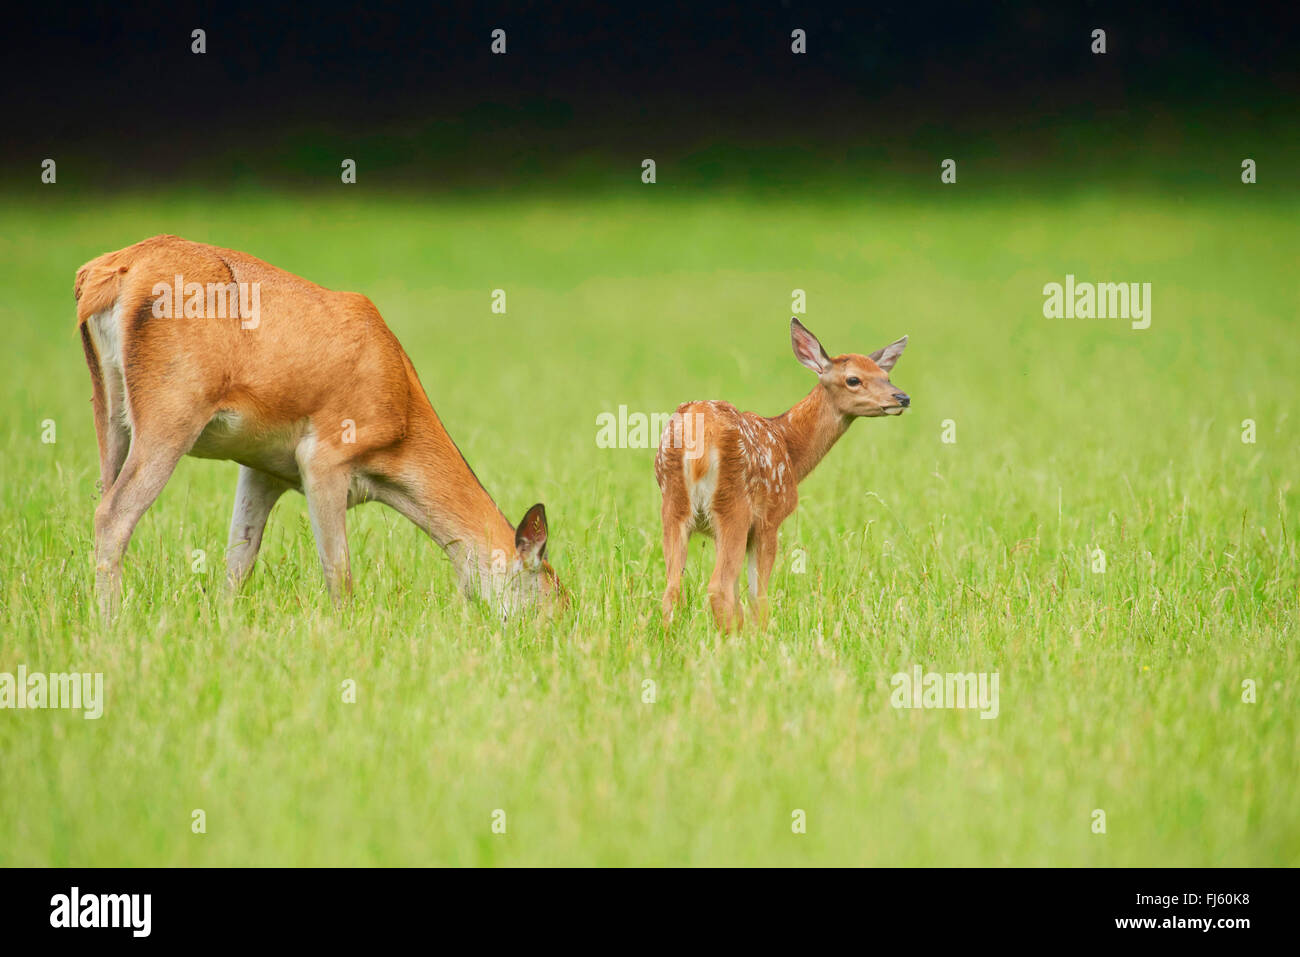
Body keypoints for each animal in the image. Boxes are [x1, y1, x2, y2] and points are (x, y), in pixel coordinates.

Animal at [75, 234, 564, 622]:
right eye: (547, 599)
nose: (543, 637)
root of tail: (103, 273)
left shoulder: (263, 467)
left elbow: (239, 563)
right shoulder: (325, 456)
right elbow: (339, 574)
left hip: (110, 407)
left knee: (103, 495)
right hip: (173, 409)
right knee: (113, 515)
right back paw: (111, 625)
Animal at [654, 318, 909, 631]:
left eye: (885, 375)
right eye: (853, 379)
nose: (902, 397)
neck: (789, 448)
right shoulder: (769, 519)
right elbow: (757, 596)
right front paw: (759, 635)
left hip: (673, 505)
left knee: (672, 589)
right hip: (733, 506)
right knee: (719, 587)